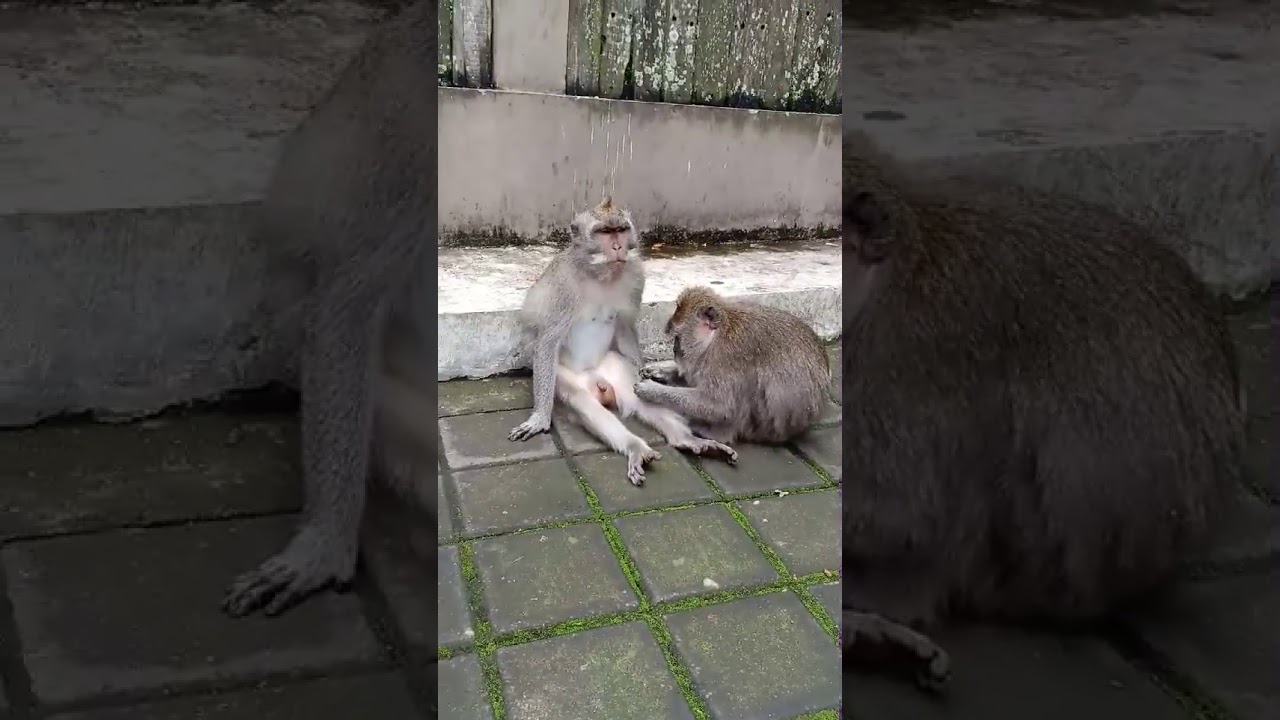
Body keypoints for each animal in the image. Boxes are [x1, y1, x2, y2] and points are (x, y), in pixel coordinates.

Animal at [508, 198, 738, 485]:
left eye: (620, 230)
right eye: (604, 232)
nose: (617, 246)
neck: (600, 273)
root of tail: (598, 381)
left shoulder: (635, 274)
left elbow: (626, 328)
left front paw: (649, 374)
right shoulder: (563, 286)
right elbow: (549, 340)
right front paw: (539, 418)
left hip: (613, 366)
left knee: (636, 392)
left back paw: (685, 439)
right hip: (564, 377)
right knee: (587, 406)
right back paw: (635, 446)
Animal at [634, 286, 830, 445]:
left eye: (677, 337)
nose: (675, 350)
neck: (719, 334)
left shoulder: (724, 359)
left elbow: (719, 405)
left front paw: (652, 390)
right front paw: (664, 369)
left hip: (767, 427)